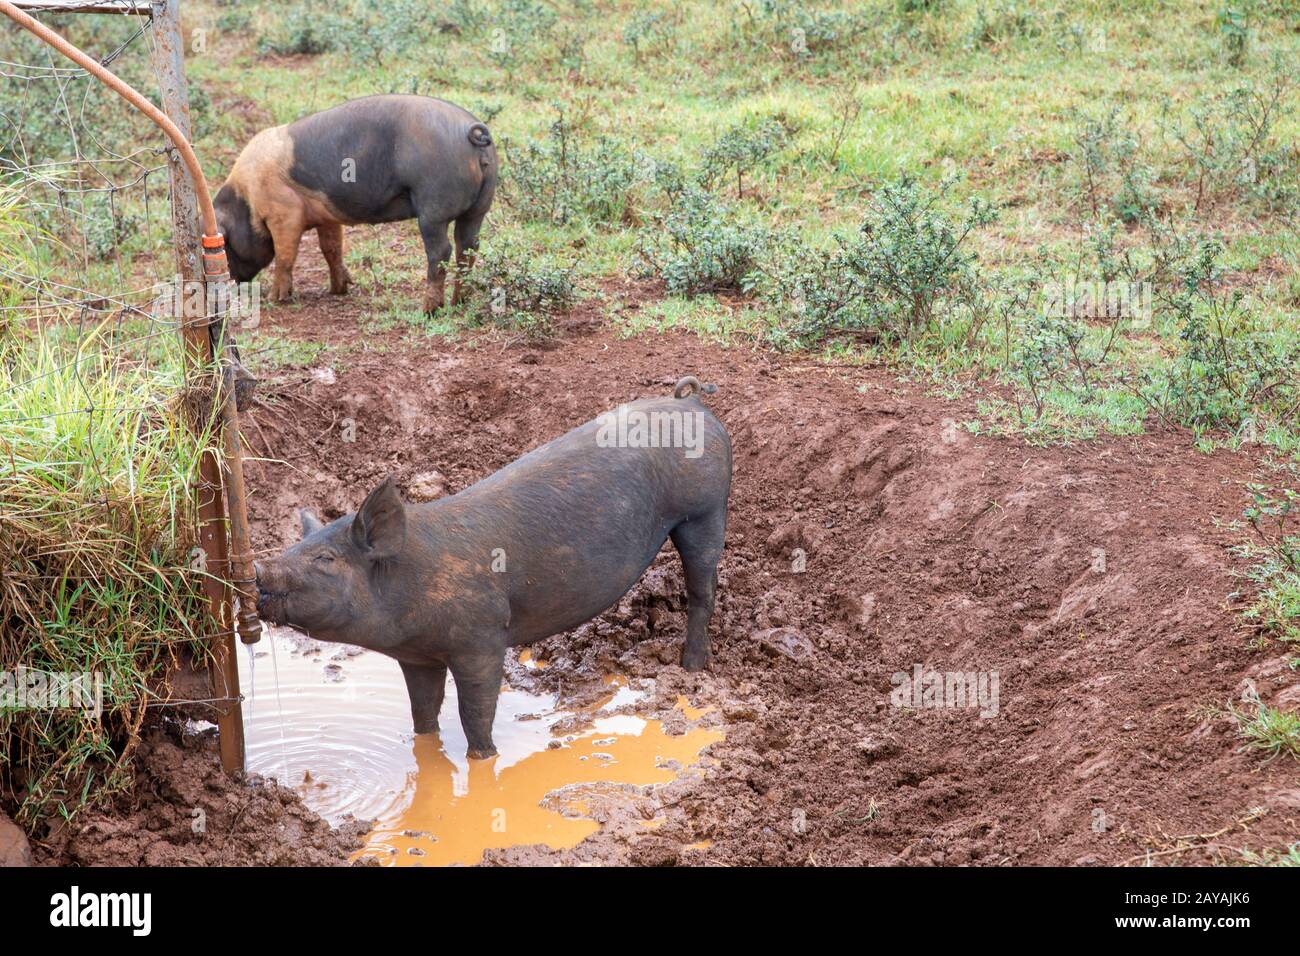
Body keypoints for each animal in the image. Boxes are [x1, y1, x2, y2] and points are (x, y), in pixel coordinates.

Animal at [214, 94, 496, 313]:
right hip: (480, 207)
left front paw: (276, 299)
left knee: (441, 251)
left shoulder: (284, 213)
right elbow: (331, 248)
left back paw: (428, 310)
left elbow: (285, 255)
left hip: (432, 209)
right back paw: (460, 302)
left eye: (225, 245)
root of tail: (470, 132)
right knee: (468, 247)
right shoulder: (326, 215)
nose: (228, 287)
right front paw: (339, 289)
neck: (246, 199)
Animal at [255, 377, 731, 759]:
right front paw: (424, 747)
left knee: (703, 590)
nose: (260, 568)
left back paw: (691, 667)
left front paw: (484, 759)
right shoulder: (416, 656)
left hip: (705, 510)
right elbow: (422, 711)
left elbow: (475, 713)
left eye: (326, 559)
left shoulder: (481, 637)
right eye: (299, 544)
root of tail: (693, 404)